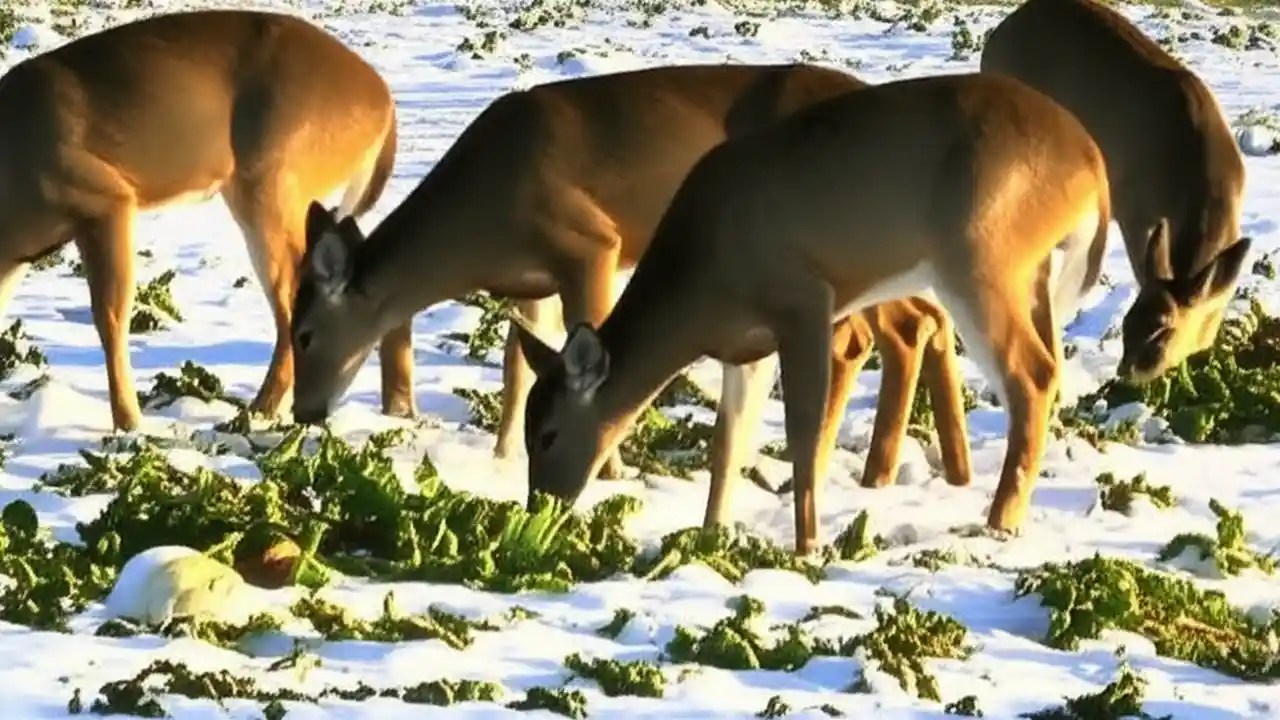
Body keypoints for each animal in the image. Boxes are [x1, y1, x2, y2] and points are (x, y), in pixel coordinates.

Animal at [0, 8, 413, 432]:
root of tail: (384, 101)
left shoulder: (107, 199)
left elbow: (110, 317)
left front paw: (129, 424)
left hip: (273, 179)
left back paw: (259, 411)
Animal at [291, 62, 973, 516]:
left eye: (303, 334)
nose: (304, 413)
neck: (480, 220)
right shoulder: (531, 278)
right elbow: (518, 363)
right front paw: (501, 456)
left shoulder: (592, 243)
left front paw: (612, 471)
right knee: (919, 321)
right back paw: (927, 471)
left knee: (882, 332)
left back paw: (866, 473)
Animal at [510, 71, 1113, 554]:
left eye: (549, 436)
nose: (539, 505)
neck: (705, 272)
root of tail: (1091, 161)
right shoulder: (745, 347)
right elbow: (728, 443)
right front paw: (708, 535)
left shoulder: (802, 300)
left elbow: (802, 432)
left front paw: (806, 546)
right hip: (1033, 274)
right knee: (1047, 367)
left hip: (982, 258)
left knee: (1031, 375)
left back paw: (998, 521)